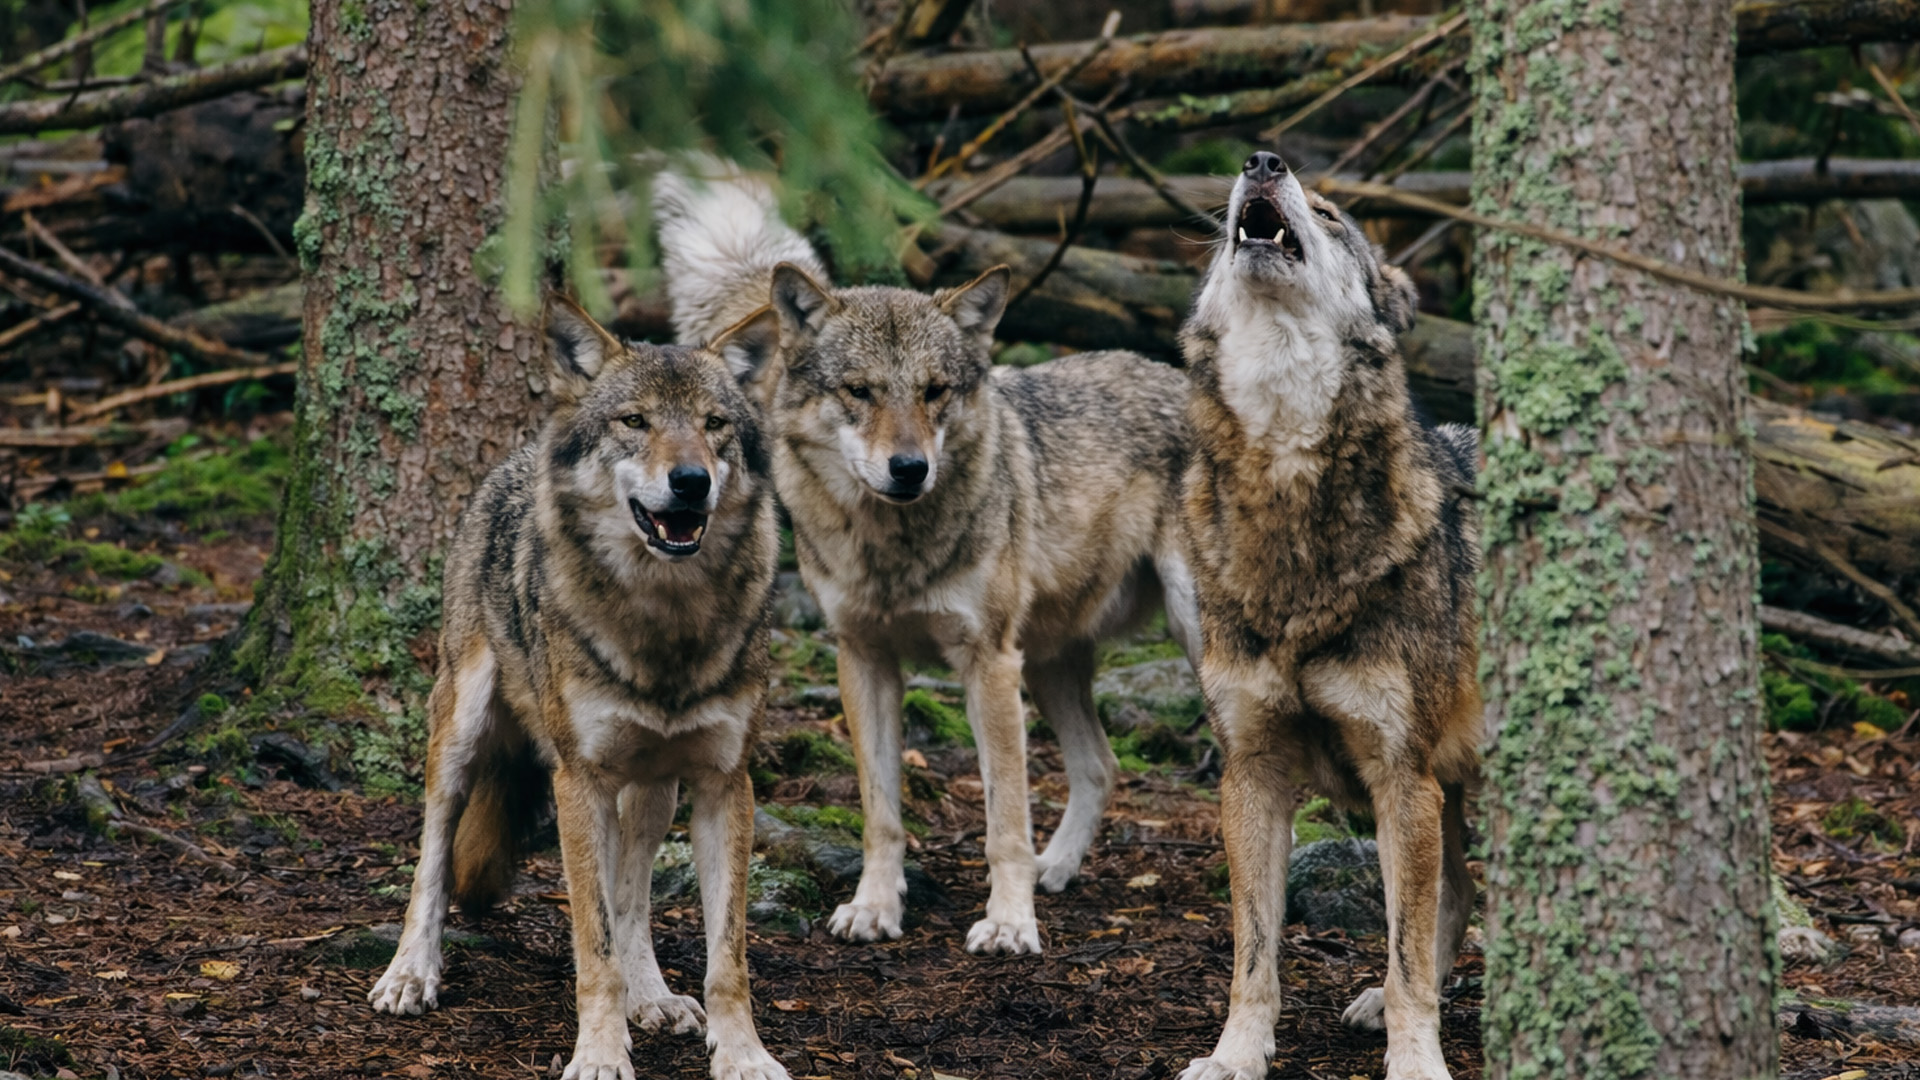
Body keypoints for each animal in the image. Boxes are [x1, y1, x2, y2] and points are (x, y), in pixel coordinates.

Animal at [367, 296, 791, 1080]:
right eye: (635, 421)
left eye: (714, 424)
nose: (692, 480)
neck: (665, 622)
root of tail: (516, 455)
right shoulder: (579, 780)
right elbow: (592, 948)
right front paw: (598, 1054)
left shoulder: (726, 782)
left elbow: (726, 956)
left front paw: (743, 1055)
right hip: (460, 733)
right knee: (432, 861)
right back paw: (410, 973)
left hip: (654, 789)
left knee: (632, 899)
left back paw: (653, 997)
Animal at [654, 163, 1198, 956]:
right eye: (860, 391)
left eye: (935, 391)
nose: (910, 468)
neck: (894, 549)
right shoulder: (863, 659)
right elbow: (882, 814)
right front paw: (875, 908)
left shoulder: (987, 664)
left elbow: (1004, 819)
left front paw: (1009, 922)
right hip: (1051, 662)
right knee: (1102, 765)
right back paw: (1057, 869)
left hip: (1189, 642)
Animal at [1175, 151, 1481, 1080]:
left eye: (1334, 214)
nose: (1262, 161)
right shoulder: (1252, 774)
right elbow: (1253, 951)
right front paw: (1234, 1058)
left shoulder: (1400, 776)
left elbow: (1406, 947)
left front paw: (1417, 1064)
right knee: (1459, 890)